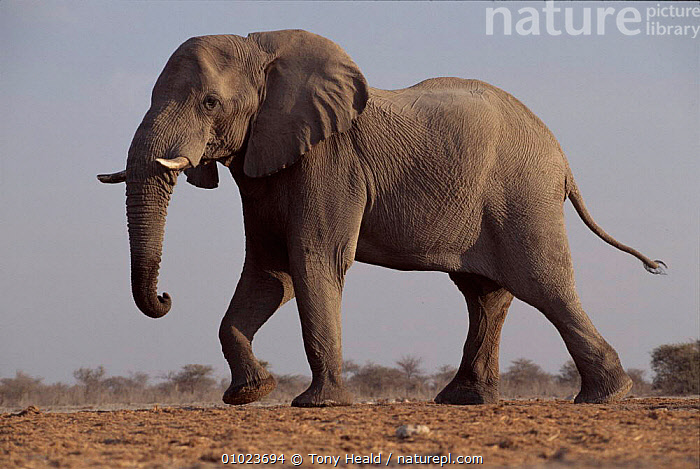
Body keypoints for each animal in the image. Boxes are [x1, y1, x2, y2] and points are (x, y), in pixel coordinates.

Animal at [98, 29, 665, 407]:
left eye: (211, 103)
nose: (166, 297)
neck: (265, 49)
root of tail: (561, 153)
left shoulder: (329, 161)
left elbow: (312, 260)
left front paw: (318, 405)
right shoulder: (261, 166)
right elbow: (269, 271)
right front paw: (250, 394)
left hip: (523, 191)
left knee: (543, 283)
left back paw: (606, 396)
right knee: (485, 293)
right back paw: (464, 399)